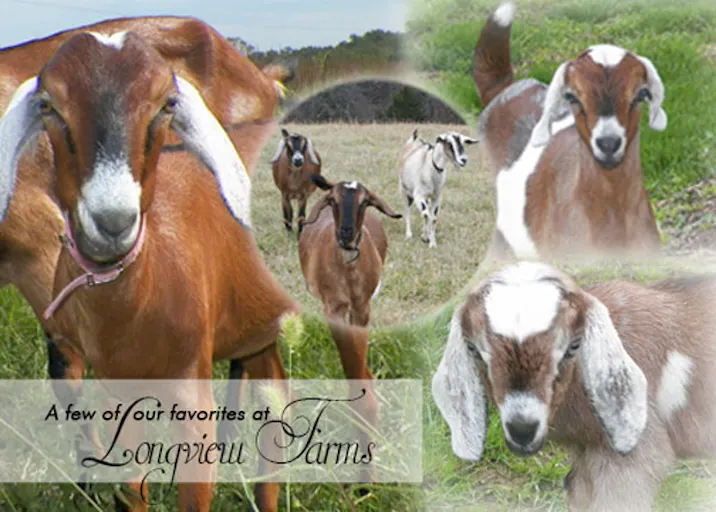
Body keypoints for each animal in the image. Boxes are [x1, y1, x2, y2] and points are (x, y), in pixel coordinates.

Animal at [0, 29, 375, 512]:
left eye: (167, 104)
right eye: (48, 105)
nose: (113, 219)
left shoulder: (191, 396)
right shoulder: (119, 390)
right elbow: (129, 490)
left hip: (347, 312)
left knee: (363, 395)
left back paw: (364, 488)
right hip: (259, 325)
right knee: (275, 411)